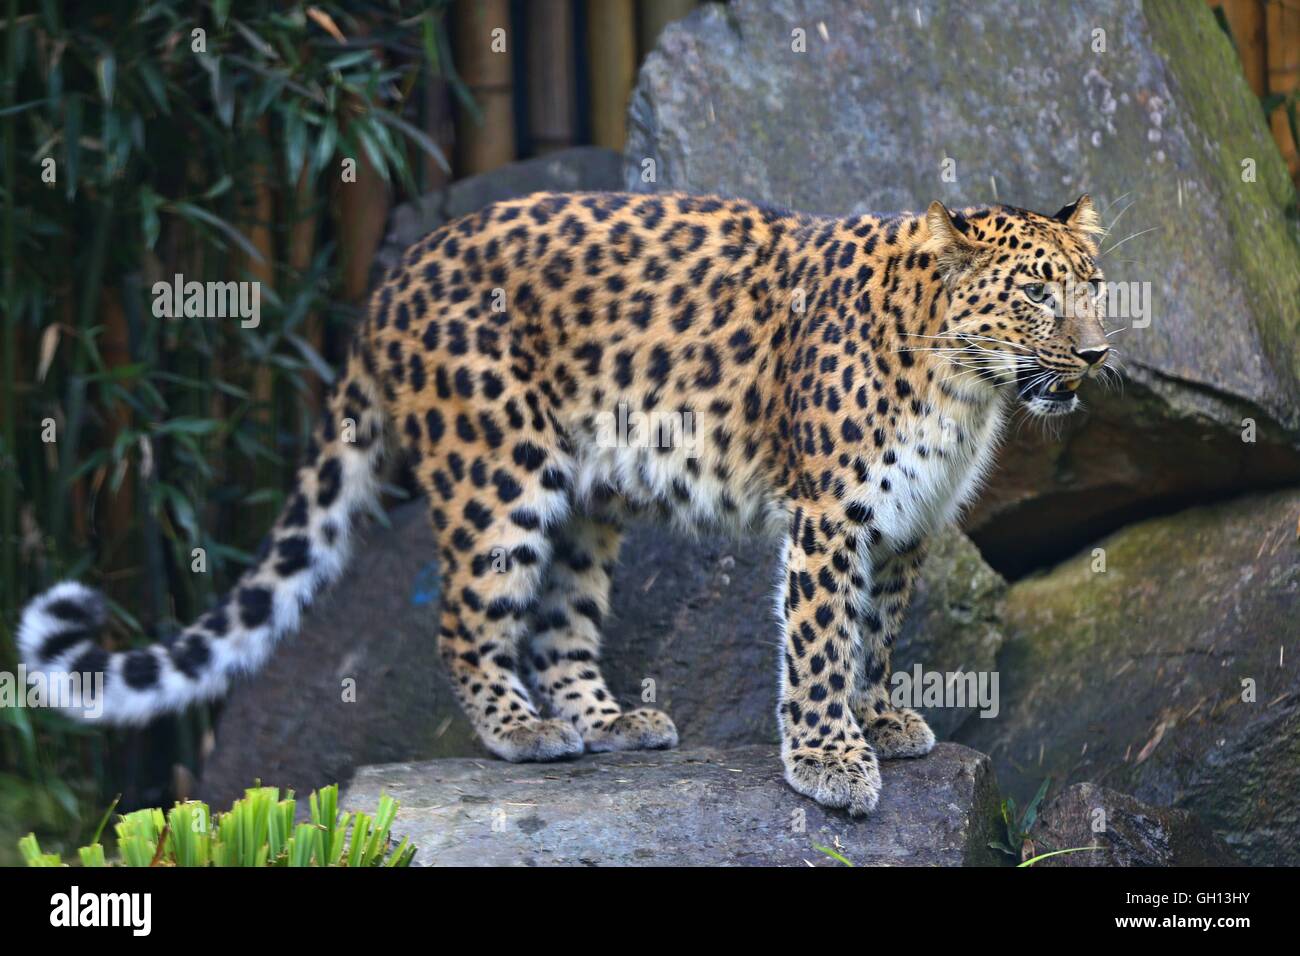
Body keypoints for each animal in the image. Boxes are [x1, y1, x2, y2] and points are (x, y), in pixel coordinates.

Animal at [19, 190, 1109, 816]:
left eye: (1095, 283)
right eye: (1037, 296)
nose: (1100, 354)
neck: (965, 384)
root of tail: (389, 283)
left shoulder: (905, 524)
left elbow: (874, 634)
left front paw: (879, 721)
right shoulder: (831, 511)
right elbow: (817, 640)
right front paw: (826, 760)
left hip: (585, 494)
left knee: (561, 625)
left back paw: (611, 720)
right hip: (500, 472)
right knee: (466, 621)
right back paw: (521, 731)